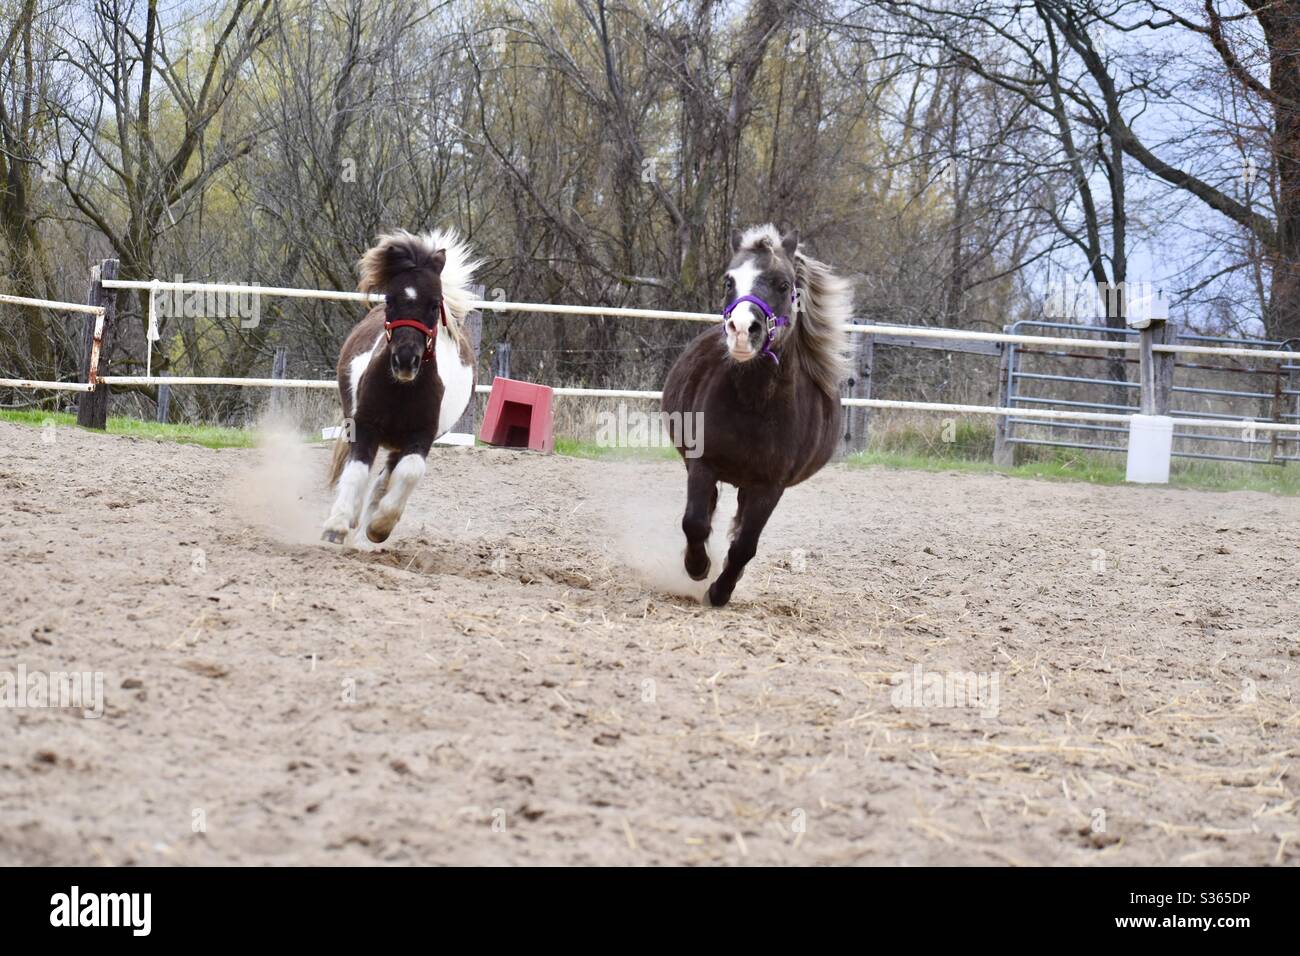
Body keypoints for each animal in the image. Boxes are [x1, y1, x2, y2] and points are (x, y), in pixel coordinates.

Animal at [321, 229, 481, 545]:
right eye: (390, 300)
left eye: (434, 304)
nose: (405, 361)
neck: (402, 391)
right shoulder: (364, 426)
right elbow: (356, 472)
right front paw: (337, 525)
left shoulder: (422, 435)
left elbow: (409, 473)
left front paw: (379, 526)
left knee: (387, 477)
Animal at [661, 224, 851, 607]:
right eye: (728, 281)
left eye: (782, 284)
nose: (741, 329)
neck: (755, 402)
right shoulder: (703, 464)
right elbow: (695, 522)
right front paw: (698, 567)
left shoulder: (770, 486)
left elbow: (745, 545)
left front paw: (720, 591)